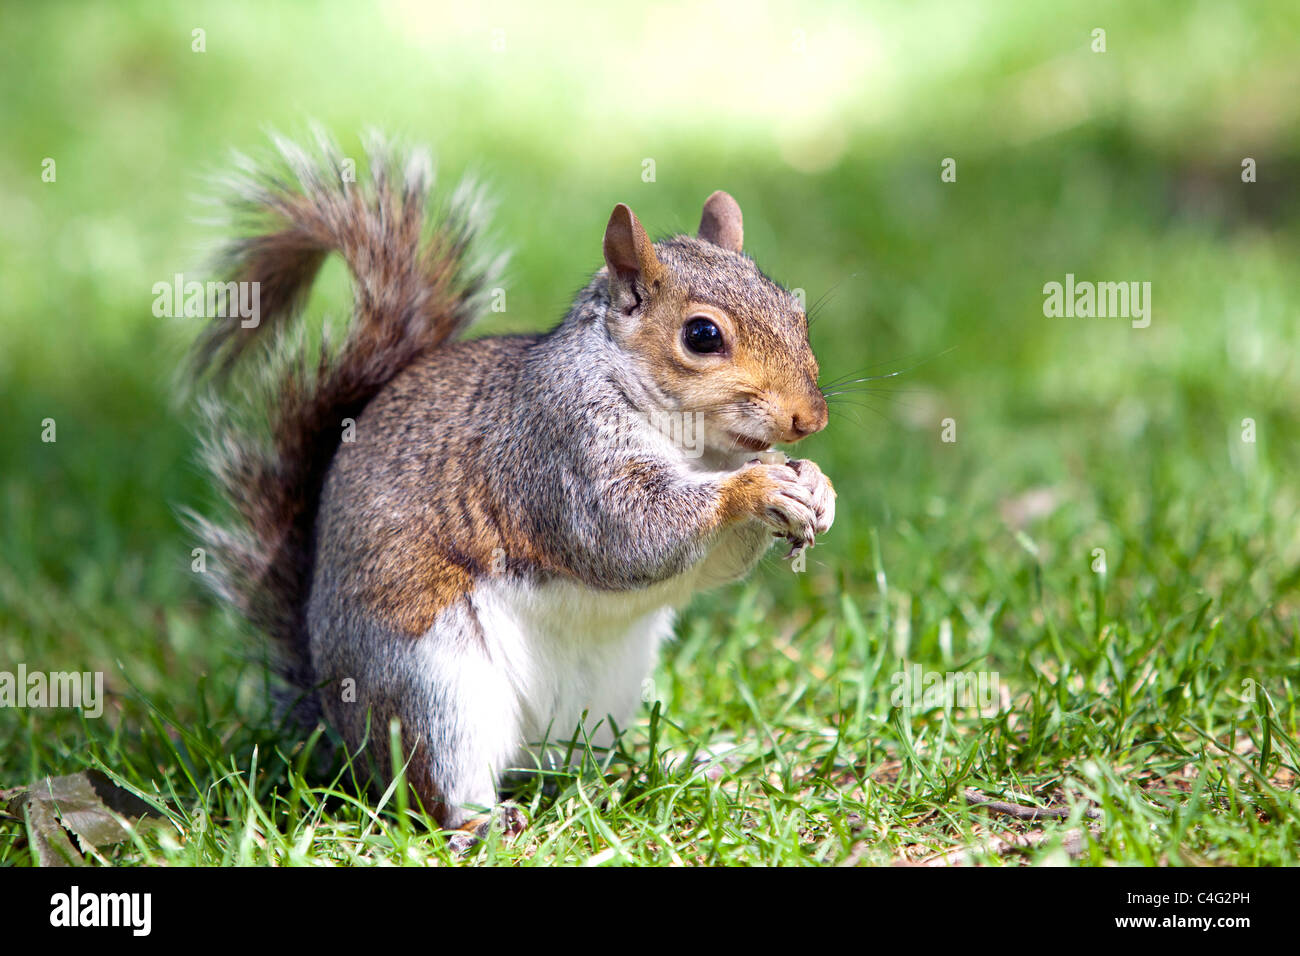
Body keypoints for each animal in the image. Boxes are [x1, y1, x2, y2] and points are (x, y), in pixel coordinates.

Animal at [190, 132, 835, 843]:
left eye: (796, 312)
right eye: (702, 335)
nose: (810, 420)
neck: (697, 445)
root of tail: (338, 729)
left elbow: (710, 563)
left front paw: (815, 486)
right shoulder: (558, 453)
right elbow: (630, 532)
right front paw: (755, 488)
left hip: (606, 692)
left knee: (579, 762)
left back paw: (664, 767)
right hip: (435, 688)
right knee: (432, 790)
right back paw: (486, 821)